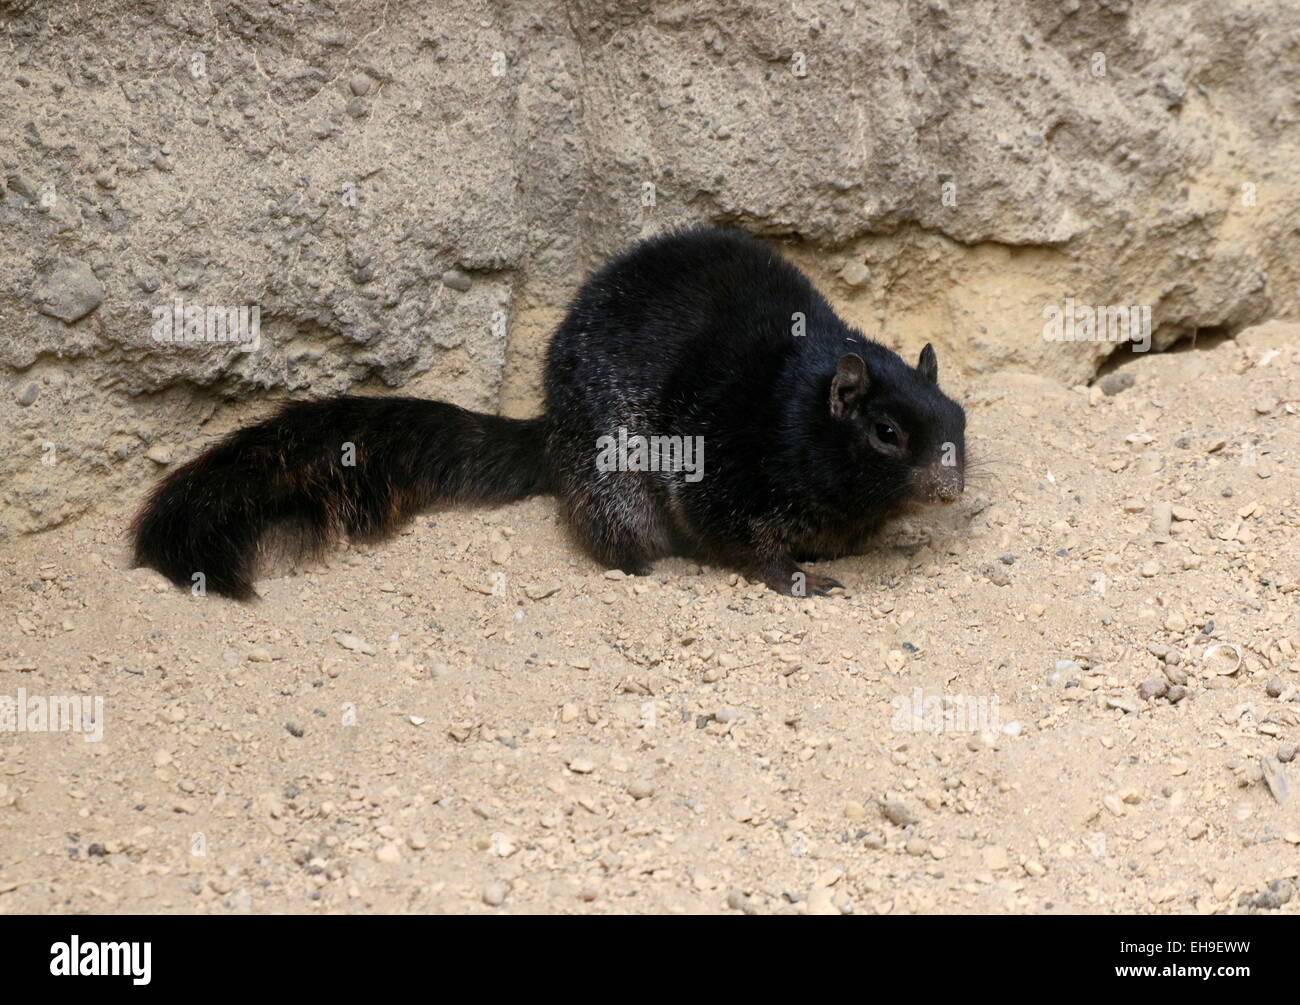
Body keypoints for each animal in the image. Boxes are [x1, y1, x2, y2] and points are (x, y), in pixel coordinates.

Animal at [131, 226, 966, 599]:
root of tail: (551, 423)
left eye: (958, 420)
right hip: (613, 482)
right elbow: (743, 540)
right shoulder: (718, 469)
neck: (791, 408)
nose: (951, 487)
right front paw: (799, 577)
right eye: (887, 432)